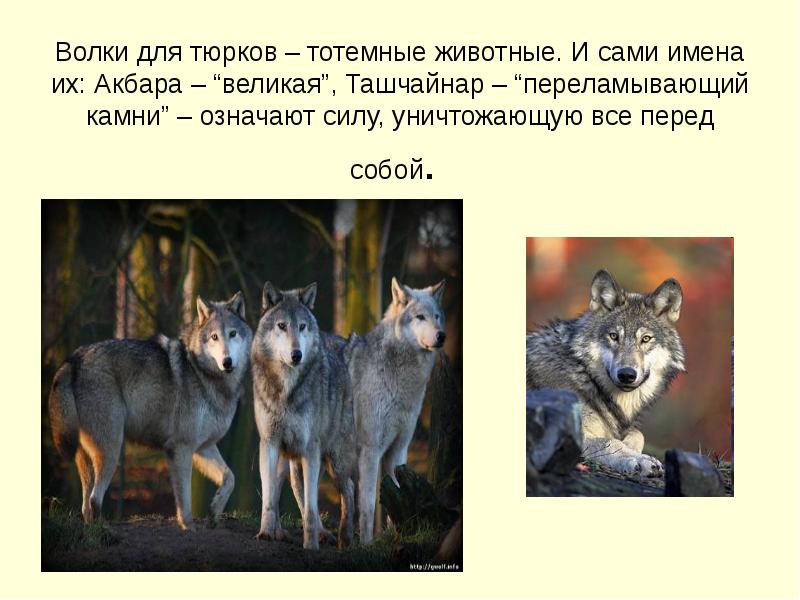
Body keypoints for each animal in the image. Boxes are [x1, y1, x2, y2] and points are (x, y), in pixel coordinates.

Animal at [48, 292, 252, 530]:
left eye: (232, 334)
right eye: (214, 337)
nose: (227, 362)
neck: (202, 373)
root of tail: (73, 359)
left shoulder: (203, 447)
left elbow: (230, 478)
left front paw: (214, 511)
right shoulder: (180, 447)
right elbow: (184, 498)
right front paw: (188, 527)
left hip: (88, 455)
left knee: (85, 505)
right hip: (112, 449)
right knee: (94, 499)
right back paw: (105, 529)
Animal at [251, 282, 357, 550]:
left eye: (301, 326)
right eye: (281, 326)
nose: (296, 354)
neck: (286, 390)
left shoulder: (310, 449)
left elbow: (310, 508)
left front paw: (310, 546)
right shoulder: (269, 443)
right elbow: (269, 499)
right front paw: (265, 532)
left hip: (333, 461)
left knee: (348, 489)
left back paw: (344, 536)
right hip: (290, 466)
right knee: (291, 495)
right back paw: (284, 532)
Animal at [346, 277, 447, 545]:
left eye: (437, 316)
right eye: (420, 317)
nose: (442, 335)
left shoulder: (399, 449)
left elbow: (396, 495)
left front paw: (397, 535)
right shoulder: (370, 451)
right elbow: (369, 506)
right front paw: (366, 545)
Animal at [526, 269, 685, 477]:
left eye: (646, 339)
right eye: (614, 336)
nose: (627, 374)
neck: (585, 375)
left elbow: (638, 434)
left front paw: (634, 450)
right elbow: (610, 442)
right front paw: (638, 460)